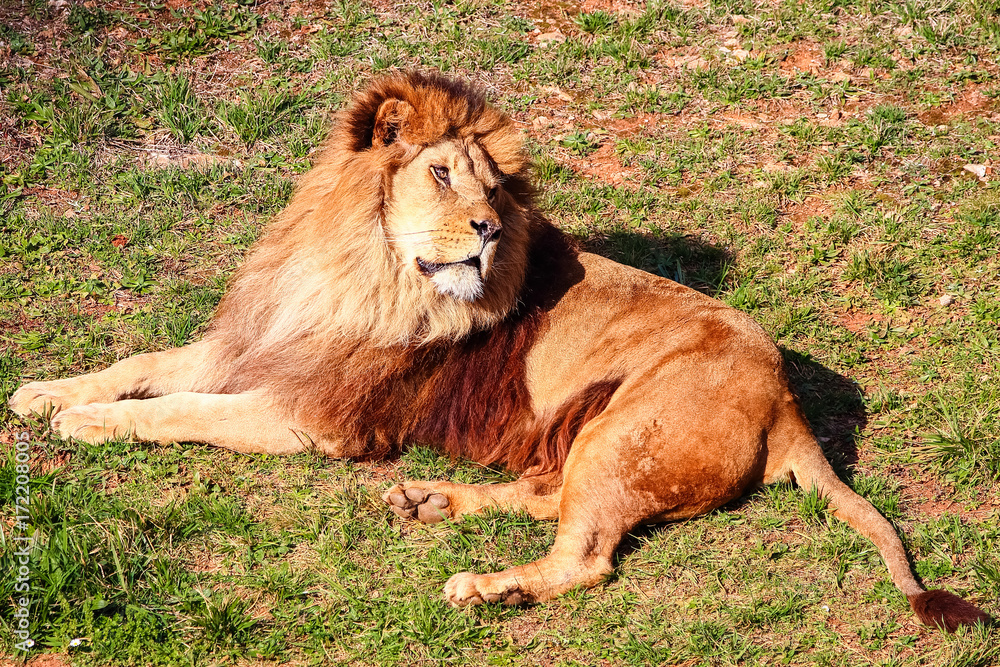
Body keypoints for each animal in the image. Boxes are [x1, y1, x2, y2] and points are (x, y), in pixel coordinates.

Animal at [9, 71, 991, 630]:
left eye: (491, 190)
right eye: (443, 174)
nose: (484, 229)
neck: (355, 262)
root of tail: (790, 405)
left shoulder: (319, 417)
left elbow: (180, 408)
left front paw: (86, 424)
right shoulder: (264, 345)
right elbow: (144, 366)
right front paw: (44, 392)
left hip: (624, 428)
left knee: (585, 554)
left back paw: (490, 587)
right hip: (590, 435)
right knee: (549, 496)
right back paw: (428, 499)